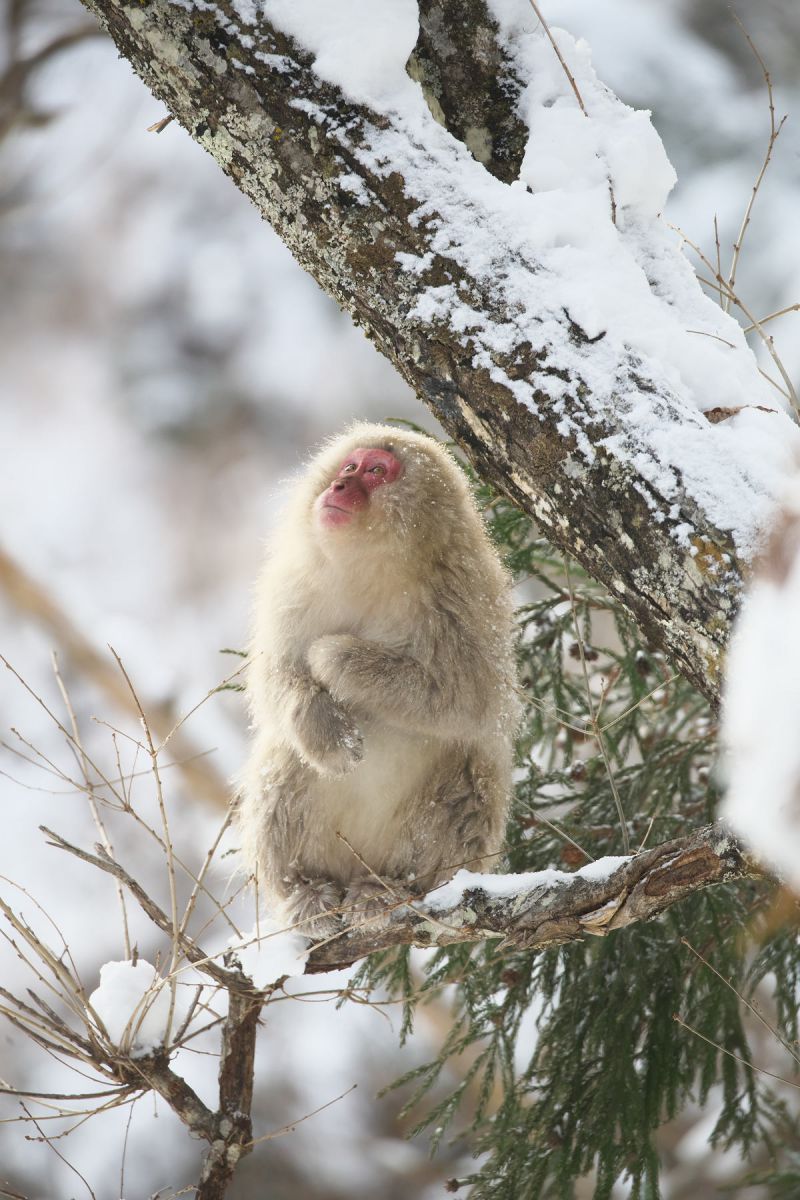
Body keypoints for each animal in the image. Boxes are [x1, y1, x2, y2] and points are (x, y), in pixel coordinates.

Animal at [238, 423, 520, 938]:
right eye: (350, 466)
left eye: (375, 472)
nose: (338, 485)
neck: (370, 568)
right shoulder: (292, 589)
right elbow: (275, 680)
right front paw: (325, 728)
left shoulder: (464, 594)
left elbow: (469, 702)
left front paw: (335, 658)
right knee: (284, 757)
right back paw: (305, 891)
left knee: (469, 769)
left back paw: (387, 889)